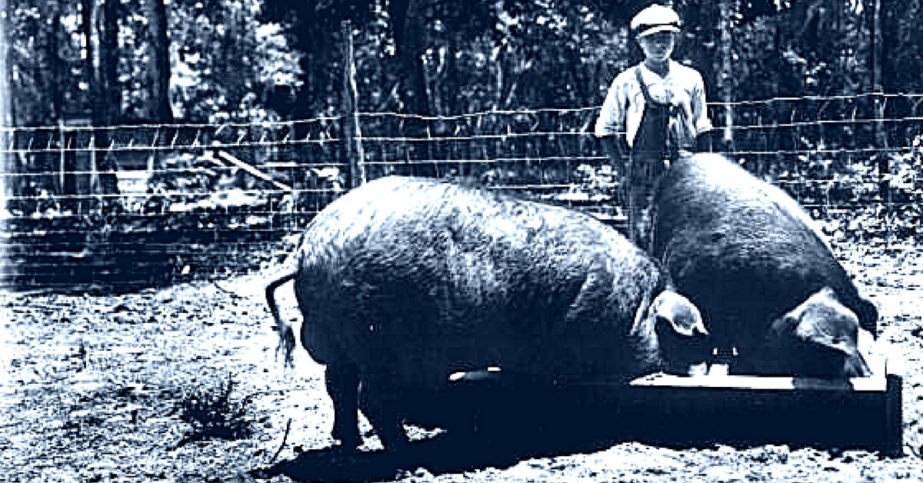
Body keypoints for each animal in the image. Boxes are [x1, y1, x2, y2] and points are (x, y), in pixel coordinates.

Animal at [265, 176, 707, 451]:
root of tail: (309, 250)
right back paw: (405, 453)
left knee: (336, 384)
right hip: (384, 343)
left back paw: (350, 441)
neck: (638, 312)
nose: (706, 358)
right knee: (371, 398)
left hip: (341, 339)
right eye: (683, 336)